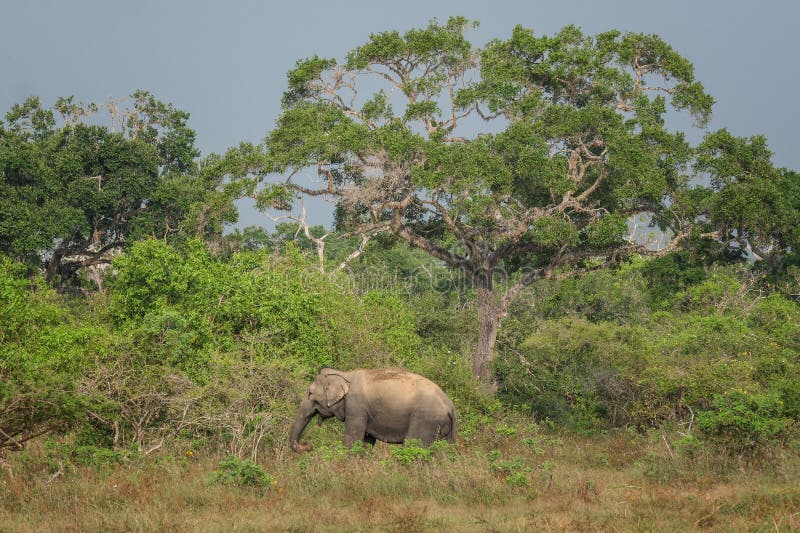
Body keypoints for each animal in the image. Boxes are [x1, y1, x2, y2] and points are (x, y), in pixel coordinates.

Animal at [289, 368, 456, 452]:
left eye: (310, 393)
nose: (308, 445)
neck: (344, 374)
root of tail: (451, 406)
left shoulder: (356, 406)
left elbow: (352, 438)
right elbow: (366, 440)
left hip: (425, 422)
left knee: (413, 446)